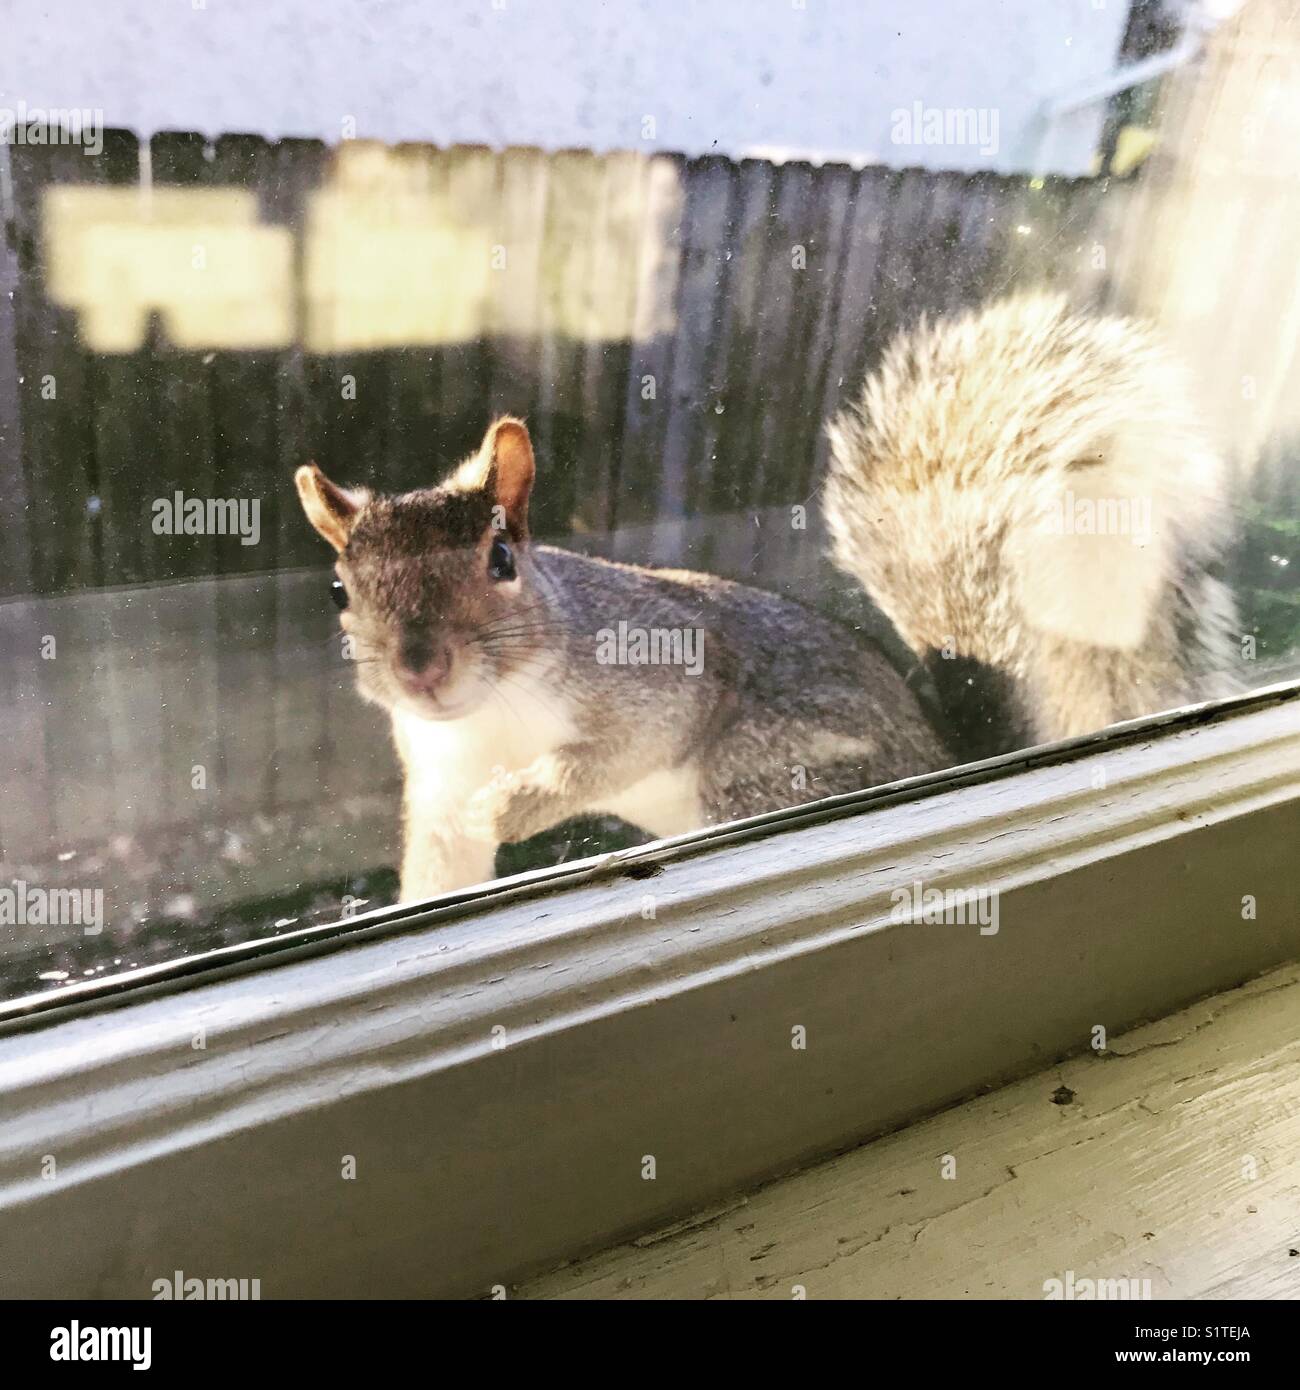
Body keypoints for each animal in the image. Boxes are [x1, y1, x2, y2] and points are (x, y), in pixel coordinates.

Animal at [295, 293, 1238, 901]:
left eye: (500, 560)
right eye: (341, 587)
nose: (421, 669)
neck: (489, 719)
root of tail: (943, 754)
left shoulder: (655, 673)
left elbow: (609, 752)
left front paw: (518, 803)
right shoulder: (437, 780)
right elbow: (441, 863)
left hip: (763, 767)